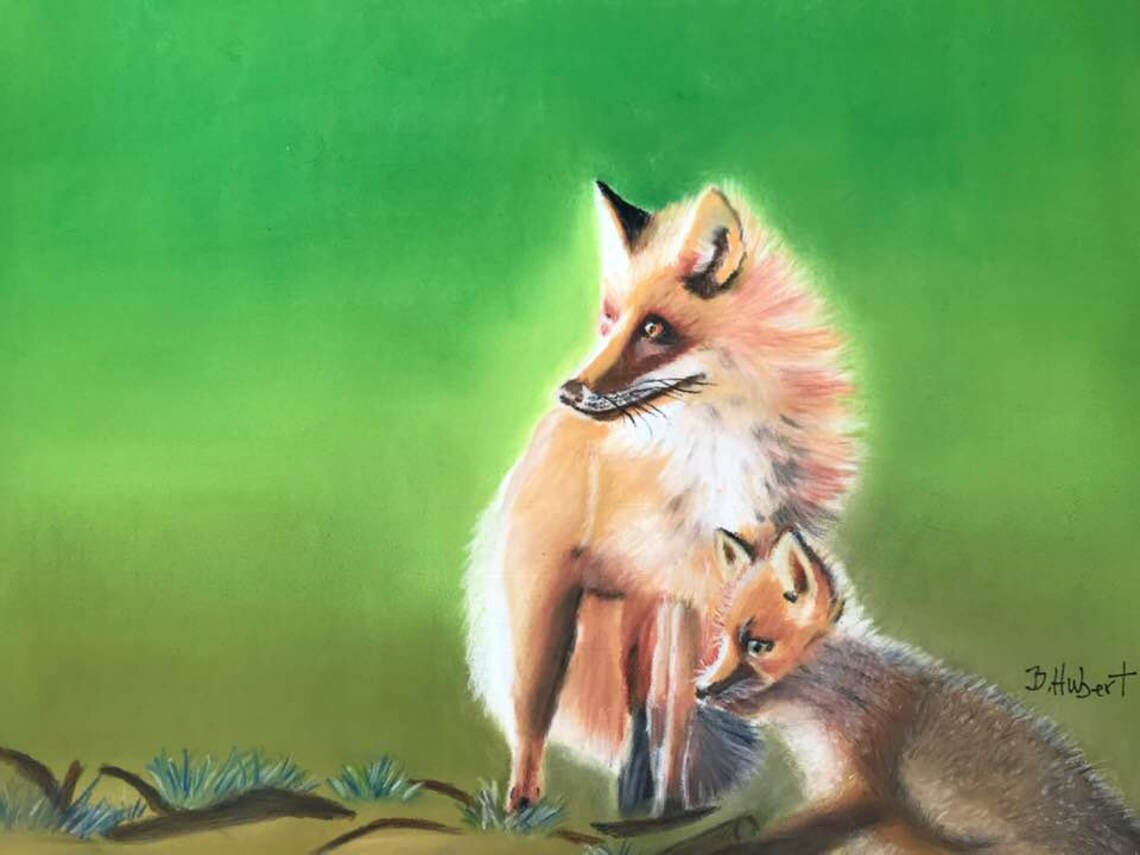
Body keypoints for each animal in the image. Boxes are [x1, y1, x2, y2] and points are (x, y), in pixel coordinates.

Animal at [464, 181, 858, 816]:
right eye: (609, 320)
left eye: (655, 329)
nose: (568, 392)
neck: (716, 452)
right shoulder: (675, 588)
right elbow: (665, 718)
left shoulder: (708, 591)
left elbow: (676, 722)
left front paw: (671, 808)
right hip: (549, 621)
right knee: (538, 721)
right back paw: (523, 809)